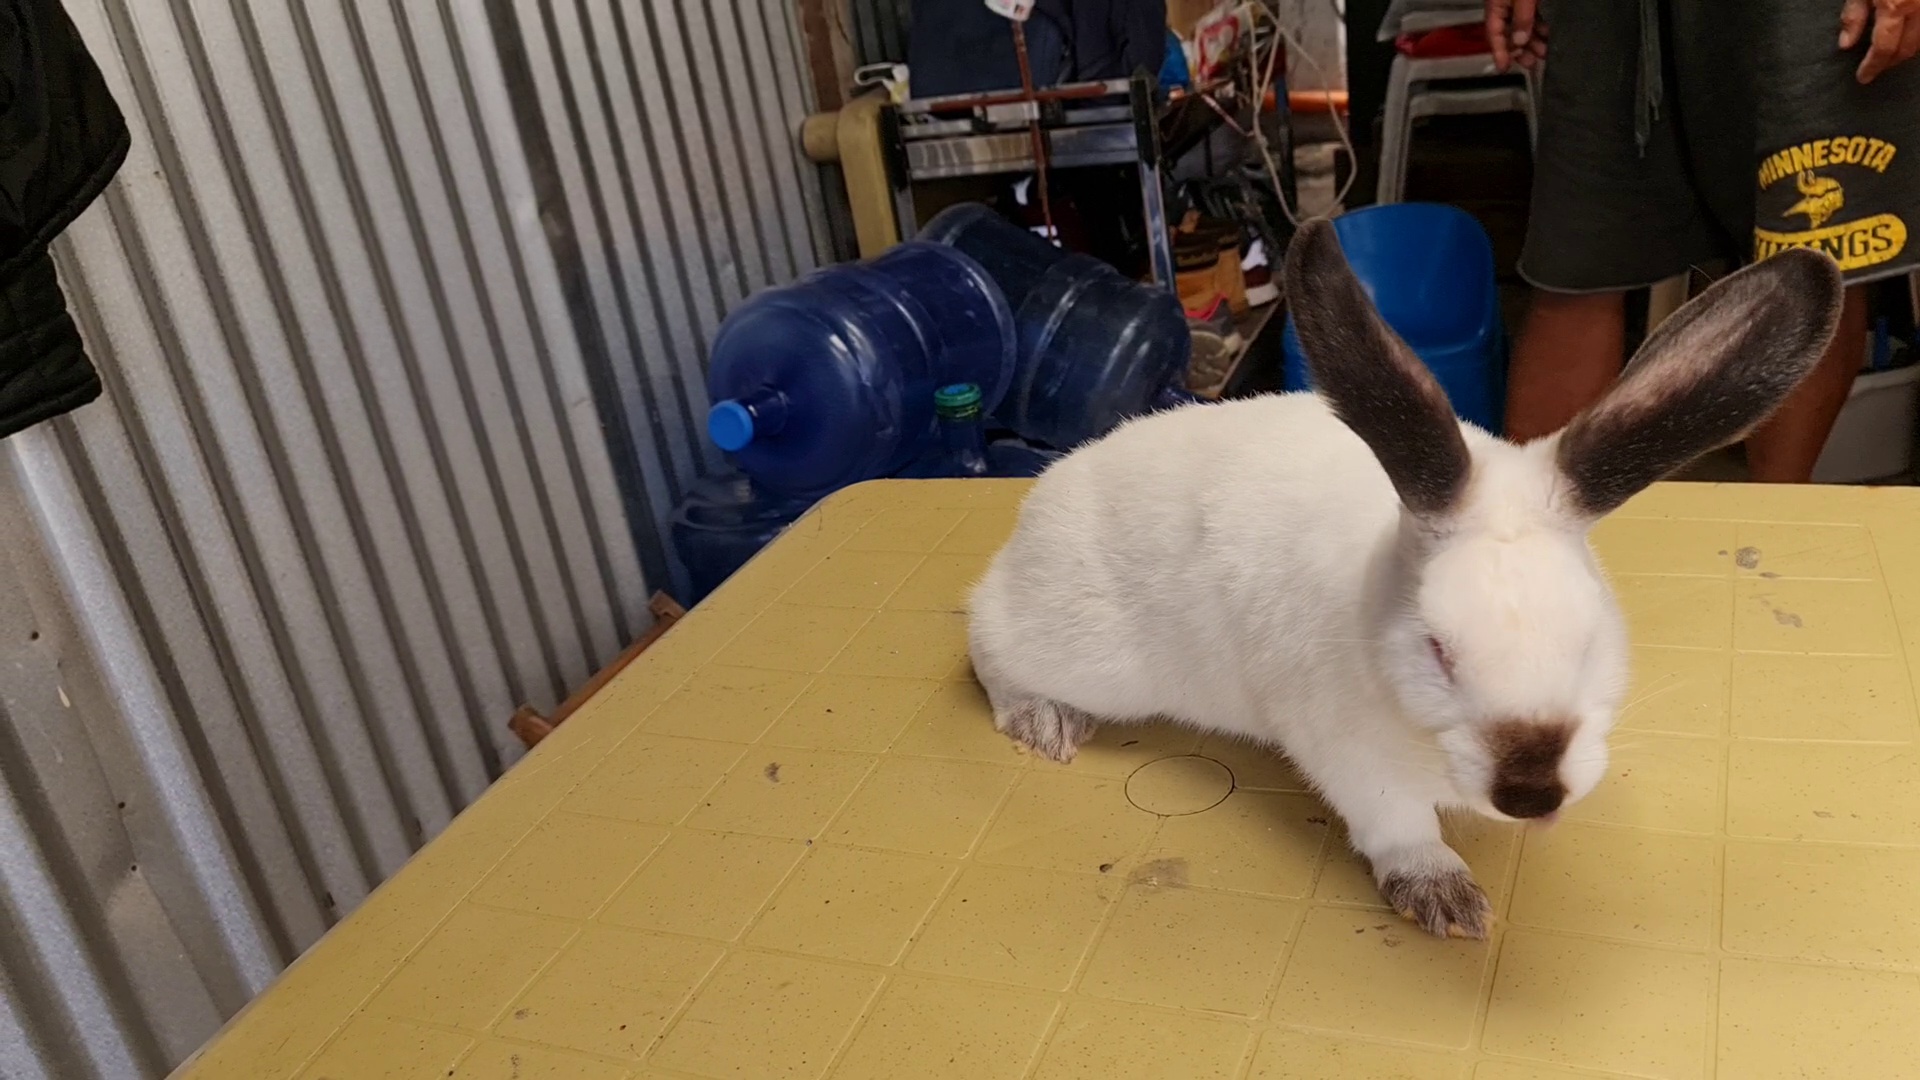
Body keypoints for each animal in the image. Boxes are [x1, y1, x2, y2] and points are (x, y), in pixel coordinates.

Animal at [967, 220, 1843, 939]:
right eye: (1437, 649)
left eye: (1592, 640)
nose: (1531, 794)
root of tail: (1042, 499)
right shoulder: (1351, 759)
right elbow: (1399, 828)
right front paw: (1446, 899)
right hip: (1086, 652)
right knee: (984, 636)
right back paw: (1044, 721)